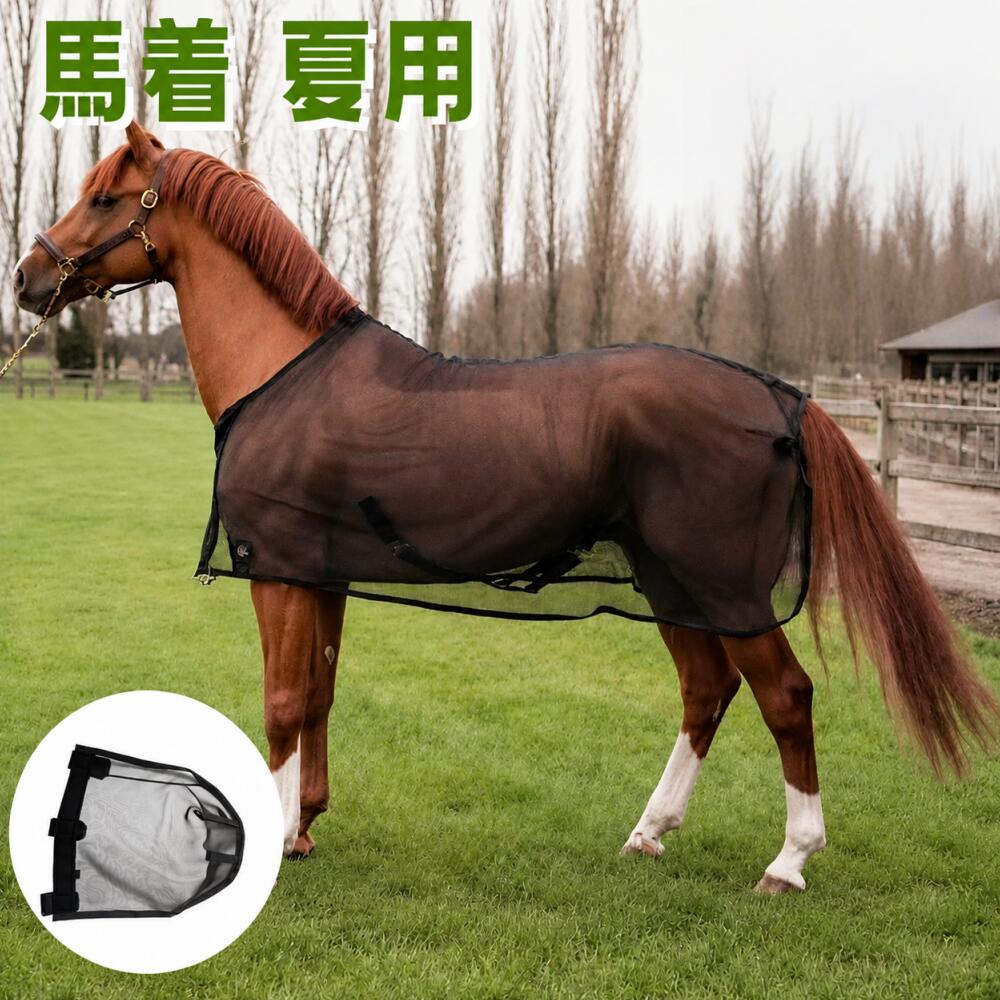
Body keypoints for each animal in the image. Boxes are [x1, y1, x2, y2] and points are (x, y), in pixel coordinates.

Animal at [11, 122, 997, 893]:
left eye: (105, 198)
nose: (26, 278)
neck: (284, 372)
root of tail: (780, 396)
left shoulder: (278, 572)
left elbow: (285, 701)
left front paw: (277, 836)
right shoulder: (318, 577)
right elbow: (321, 693)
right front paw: (305, 828)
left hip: (725, 589)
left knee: (784, 697)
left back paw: (789, 862)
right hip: (668, 583)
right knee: (706, 691)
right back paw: (648, 833)